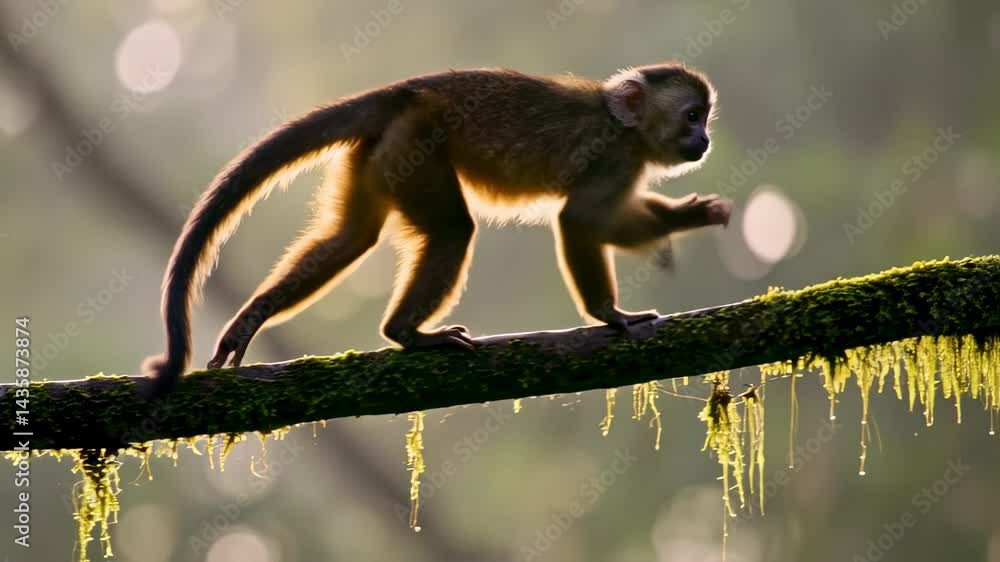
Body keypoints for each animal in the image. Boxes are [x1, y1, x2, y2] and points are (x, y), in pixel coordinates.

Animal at [142, 62, 732, 395]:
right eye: (691, 116)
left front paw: (683, 220)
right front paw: (610, 314)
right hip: (417, 140)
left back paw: (255, 315)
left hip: (384, 148)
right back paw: (406, 333)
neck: (626, 125)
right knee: (452, 228)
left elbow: (608, 218)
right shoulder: (616, 155)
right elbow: (580, 219)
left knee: (353, 237)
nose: (704, 140)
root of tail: (404, 91)